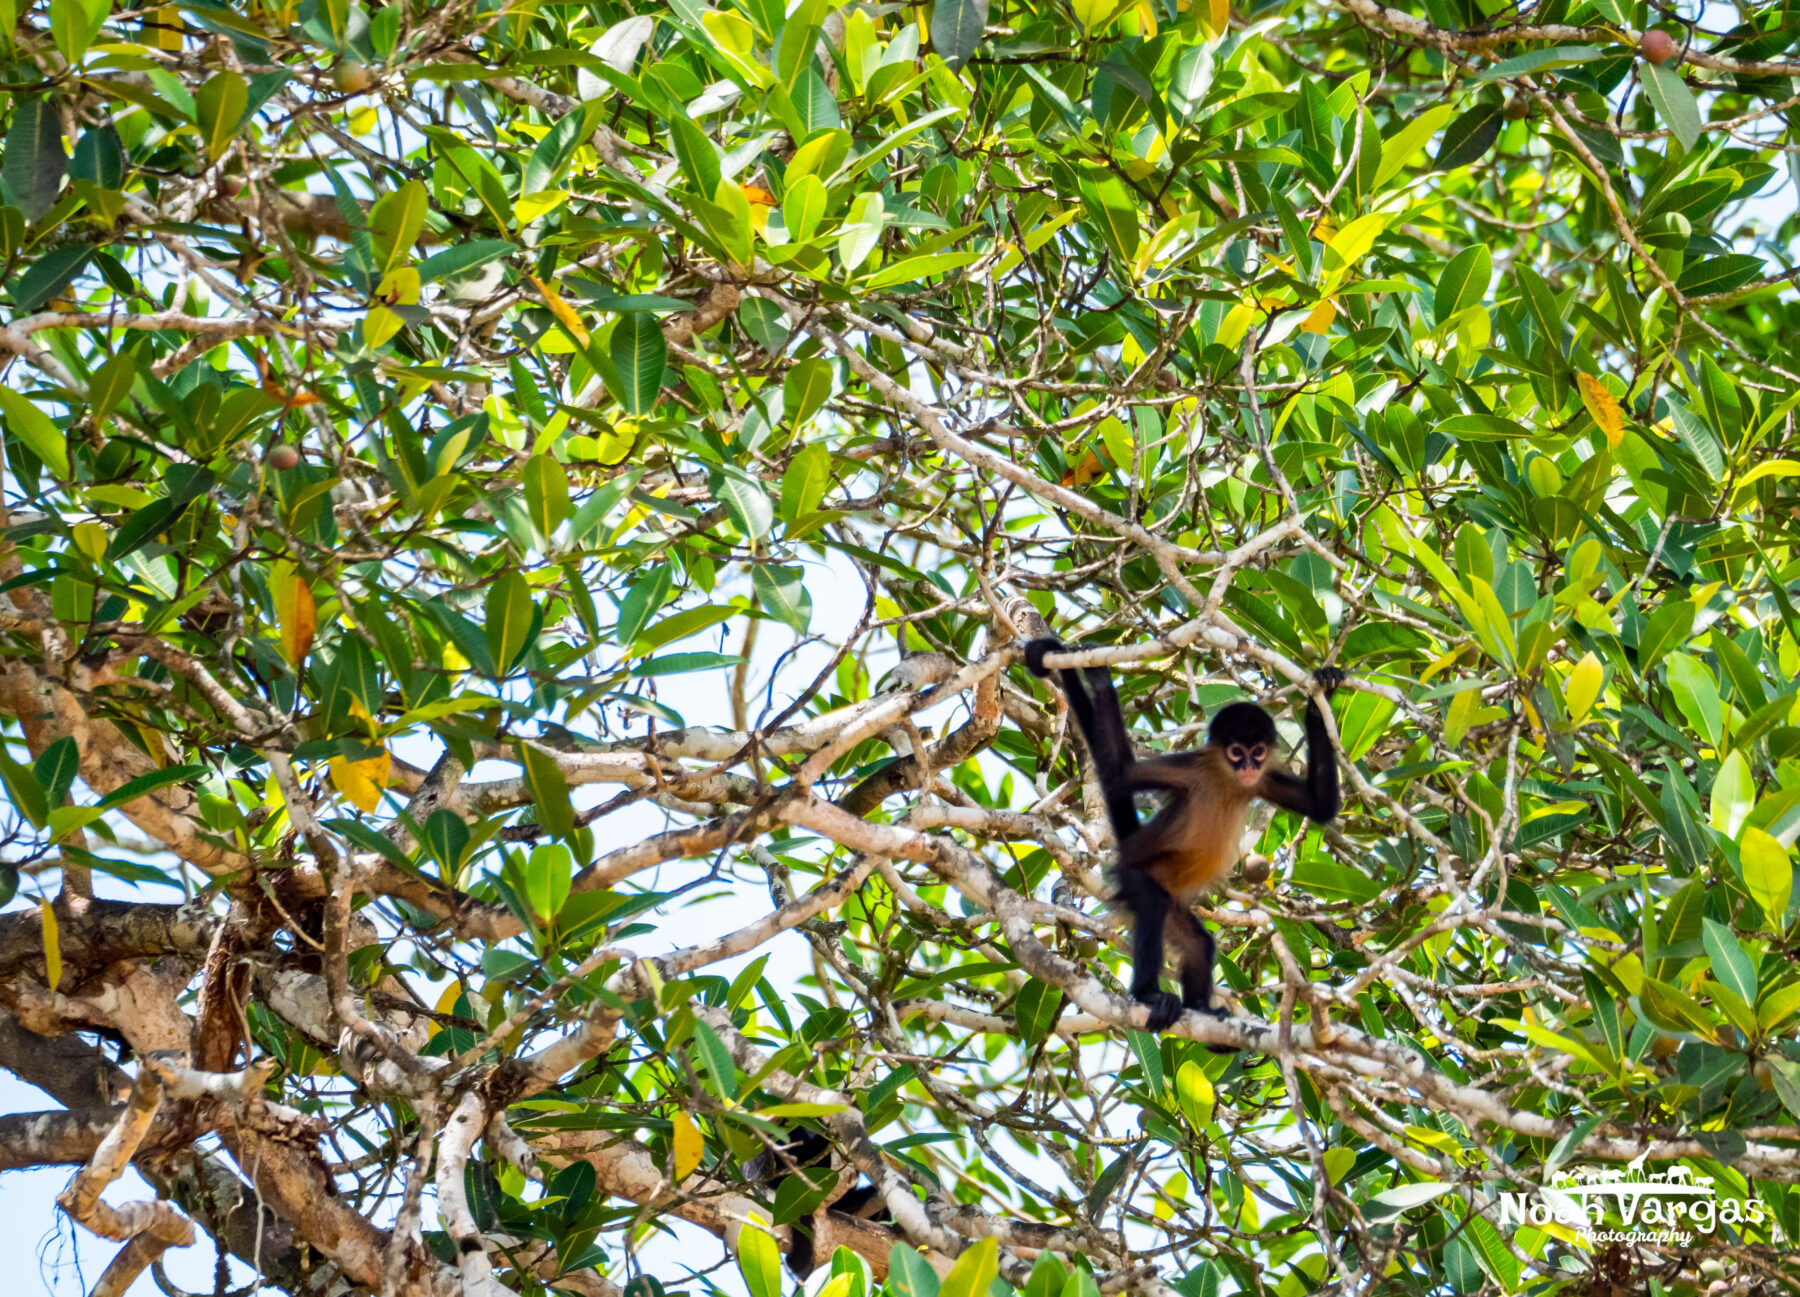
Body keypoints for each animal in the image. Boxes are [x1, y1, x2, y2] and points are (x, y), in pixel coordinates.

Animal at [1025, 637, 1343, 1034]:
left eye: (1257, 752)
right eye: (1236, 752)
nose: (1248, 766)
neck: (1226, 779)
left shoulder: (1263, 781)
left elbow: (1321, 806)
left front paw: (1322, 696)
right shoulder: (1192, 770)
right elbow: (1119, 774)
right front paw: (1100, 681)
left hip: (1176, 906)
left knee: (1198, 943)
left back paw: (1202, 1013)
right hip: (1138, 877)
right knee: (1151, 903)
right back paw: (1148, 994)